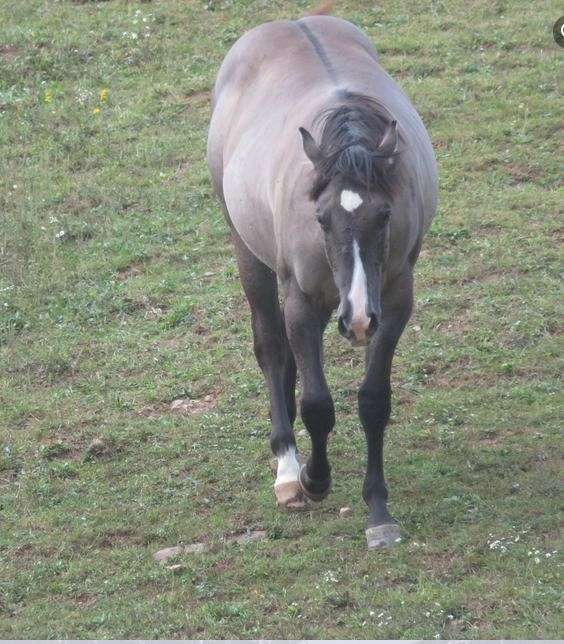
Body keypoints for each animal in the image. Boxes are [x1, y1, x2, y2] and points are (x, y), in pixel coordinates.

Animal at [207, 13, 437, 549]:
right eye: (321, 218)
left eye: (384, 216)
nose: (357, 319)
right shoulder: (303, 300)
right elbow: (315, 402)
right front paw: (314, 479)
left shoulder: (394, 301)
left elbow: (373, 400)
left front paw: (378, 512)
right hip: (248, 253)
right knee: (272, 348)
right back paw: (288, 472)